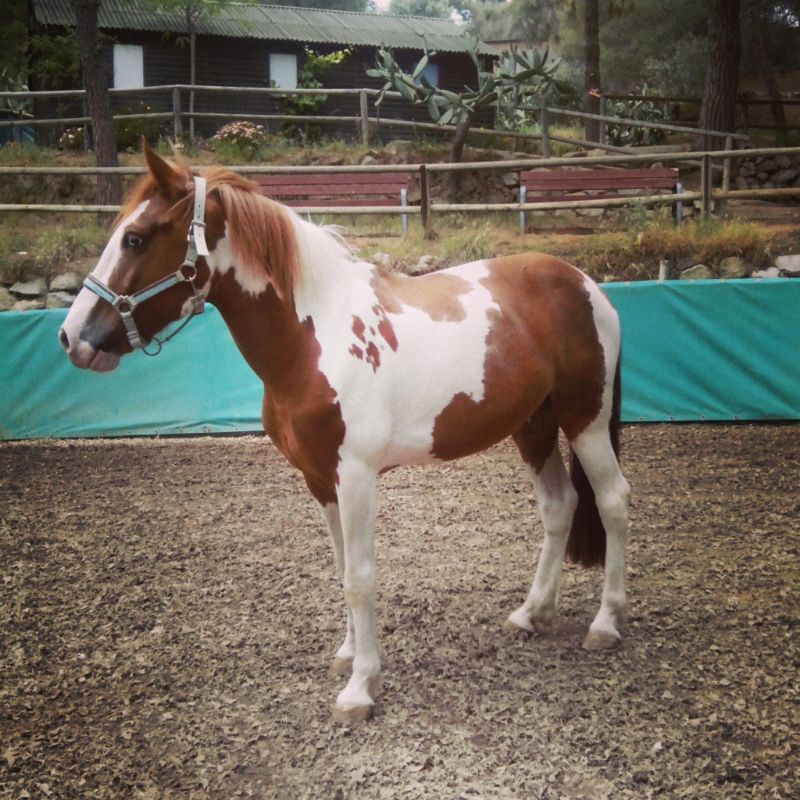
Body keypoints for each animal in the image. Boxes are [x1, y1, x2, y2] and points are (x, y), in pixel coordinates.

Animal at [59, 143, 630, 722]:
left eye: (135, 238)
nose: (70, 337)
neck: (314, 337)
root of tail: (585, 283)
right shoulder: (319, 479)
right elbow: (340, 569)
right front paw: (349, 656)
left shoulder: (355, 477)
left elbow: (361, 577)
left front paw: (361, 688)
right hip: (533, 425)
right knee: (560, 505)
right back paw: (531, 613)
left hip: (584, 419)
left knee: (611, 500)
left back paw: (606, 624)